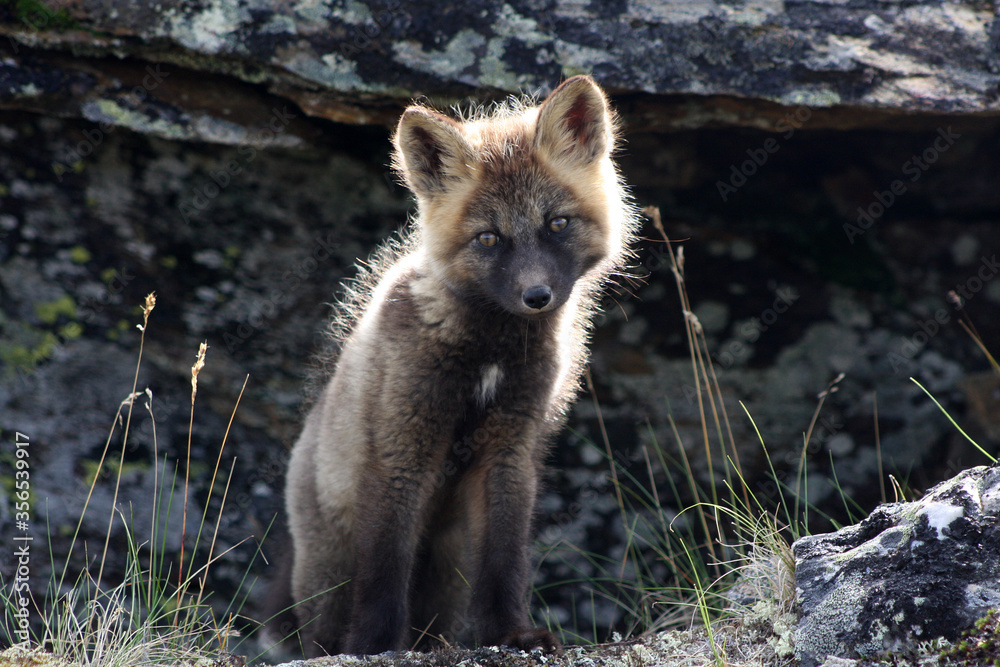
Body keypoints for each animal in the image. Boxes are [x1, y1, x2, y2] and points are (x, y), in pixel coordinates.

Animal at [270, 75, 638, 657]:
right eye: (489, 238)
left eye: (556, 224)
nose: (536, 296)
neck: (490, 356)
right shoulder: (402, 448)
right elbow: (384, 568)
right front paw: (373, 645)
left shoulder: (510, 447)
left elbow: (505, 561)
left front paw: (510, 634)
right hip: (330, 578)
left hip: (446, 575)